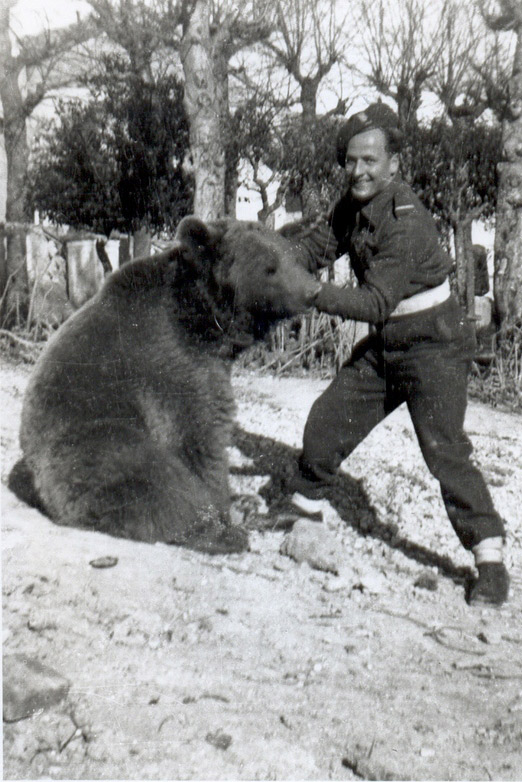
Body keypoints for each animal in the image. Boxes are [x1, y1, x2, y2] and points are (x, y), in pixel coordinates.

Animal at [9, 216, 321, 554]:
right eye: (270, 267)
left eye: (293, 257)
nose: (313, 291)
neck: (203, 322)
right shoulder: (171, 363)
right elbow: (199, 436)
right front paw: (221, 515)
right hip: (89, 445)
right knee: (153, 478)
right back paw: (223, 532)